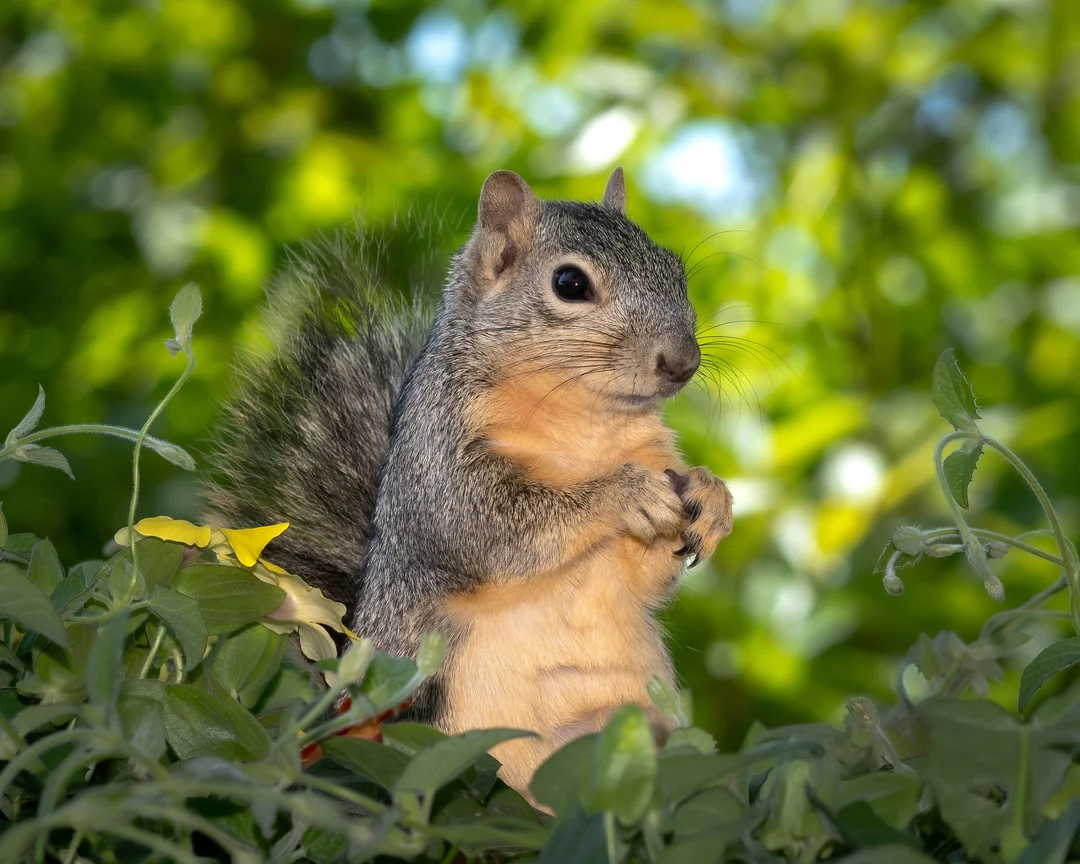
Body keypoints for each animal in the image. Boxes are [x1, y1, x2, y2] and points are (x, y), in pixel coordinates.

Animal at [204, 168, 734, 795]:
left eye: (675, 271)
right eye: (570, 283)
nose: (682, 362)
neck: (583, 420)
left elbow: (646, 575)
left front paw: (711, 495)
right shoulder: (437, 464)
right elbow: (488, 525)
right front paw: (625, 494)